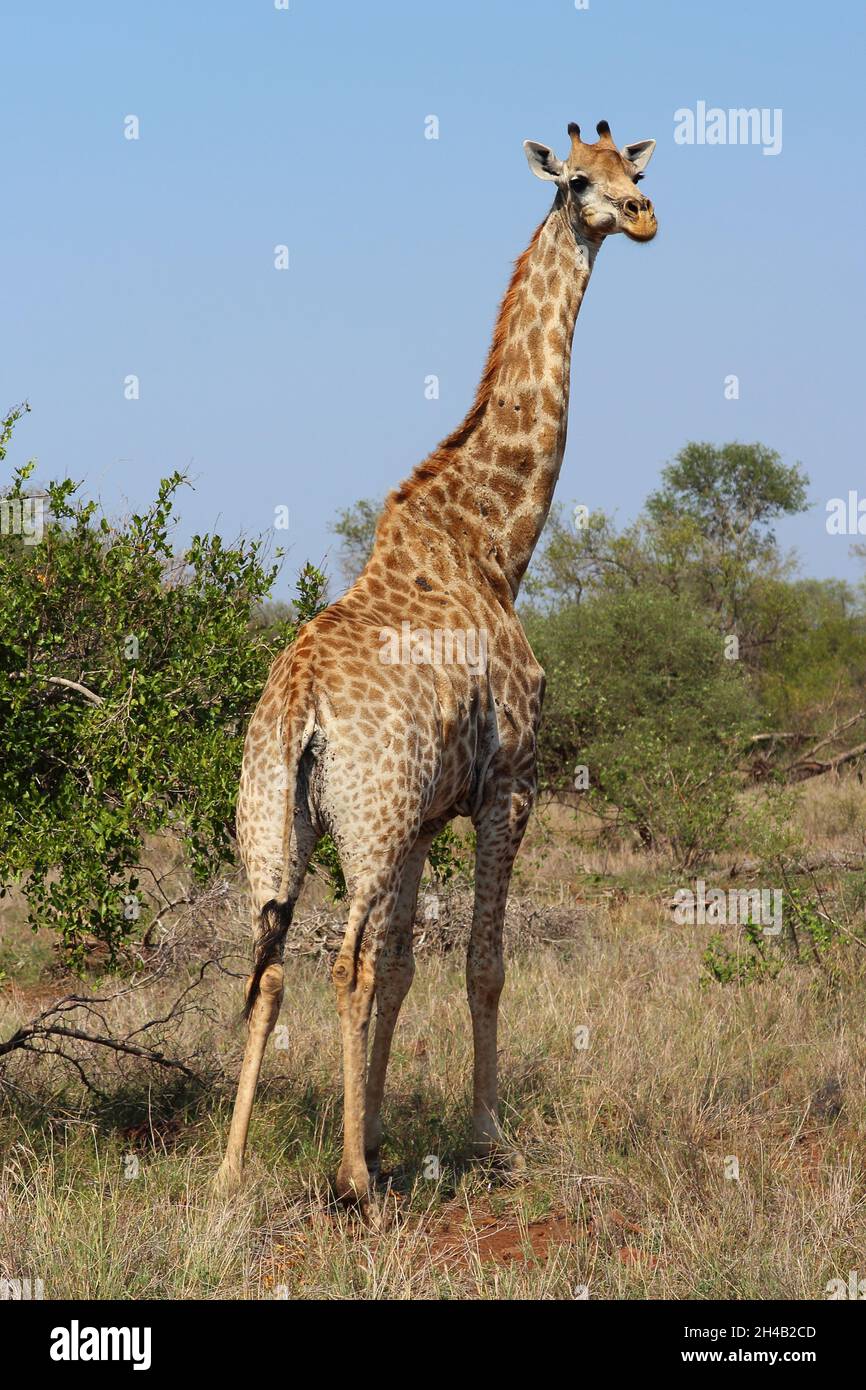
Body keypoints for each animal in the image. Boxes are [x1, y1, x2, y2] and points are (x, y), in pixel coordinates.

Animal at [216, 120, 657, 1203]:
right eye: (577, 181)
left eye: (635, 171)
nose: (641, 217)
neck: (495, 542)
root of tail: (298, 712)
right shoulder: (512, 783)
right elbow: (480, 964)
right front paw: (483, 1137)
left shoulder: (422, 817)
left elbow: (411, 965)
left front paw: (377, 1127)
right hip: (363, 822)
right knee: (341, 964)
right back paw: (351, 1184)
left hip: (273, 824)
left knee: (270, 962)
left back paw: (232, 1173)